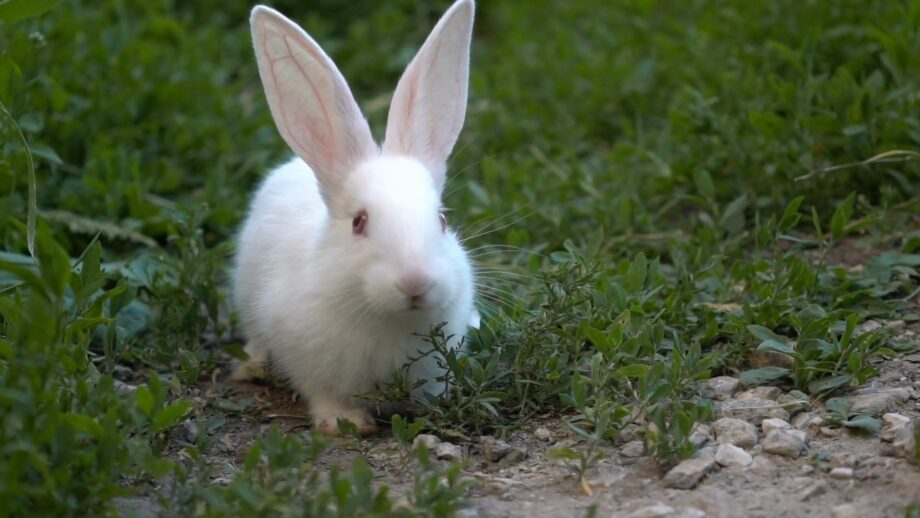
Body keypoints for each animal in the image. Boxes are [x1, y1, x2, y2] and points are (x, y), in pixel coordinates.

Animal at [232, 0, 478, 435]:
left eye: (442, 220)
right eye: (359, 222)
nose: (415, 282)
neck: (388, 318)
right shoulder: (312, 366)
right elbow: (325, 394)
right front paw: (344, 423)